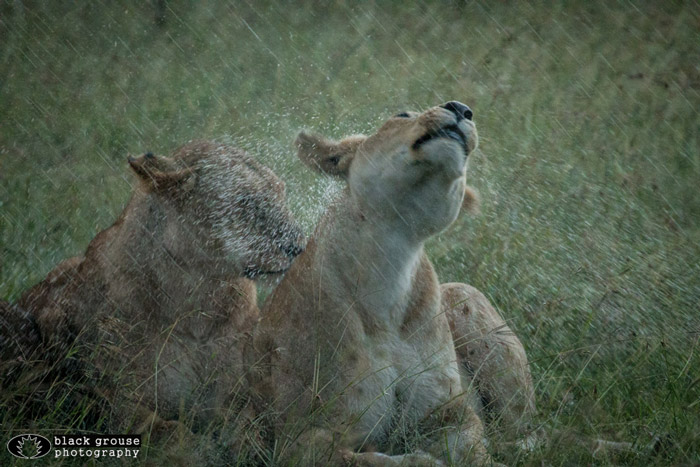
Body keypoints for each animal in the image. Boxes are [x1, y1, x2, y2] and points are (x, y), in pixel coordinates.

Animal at [17, 141, 305, 451]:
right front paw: (203, 449)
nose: (299, 245)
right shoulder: (115, 398)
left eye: (281, 194)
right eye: (246, 202)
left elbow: (253, 426)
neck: (198, 304)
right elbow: (170, 434)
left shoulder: (247, 390)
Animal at [253, 101, 517, 465]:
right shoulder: (299, 437)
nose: (461, 108)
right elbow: (373, 460)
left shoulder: (450, 413)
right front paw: (421, 459)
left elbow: (474, 449)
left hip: (465, 293)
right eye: (402, 115)